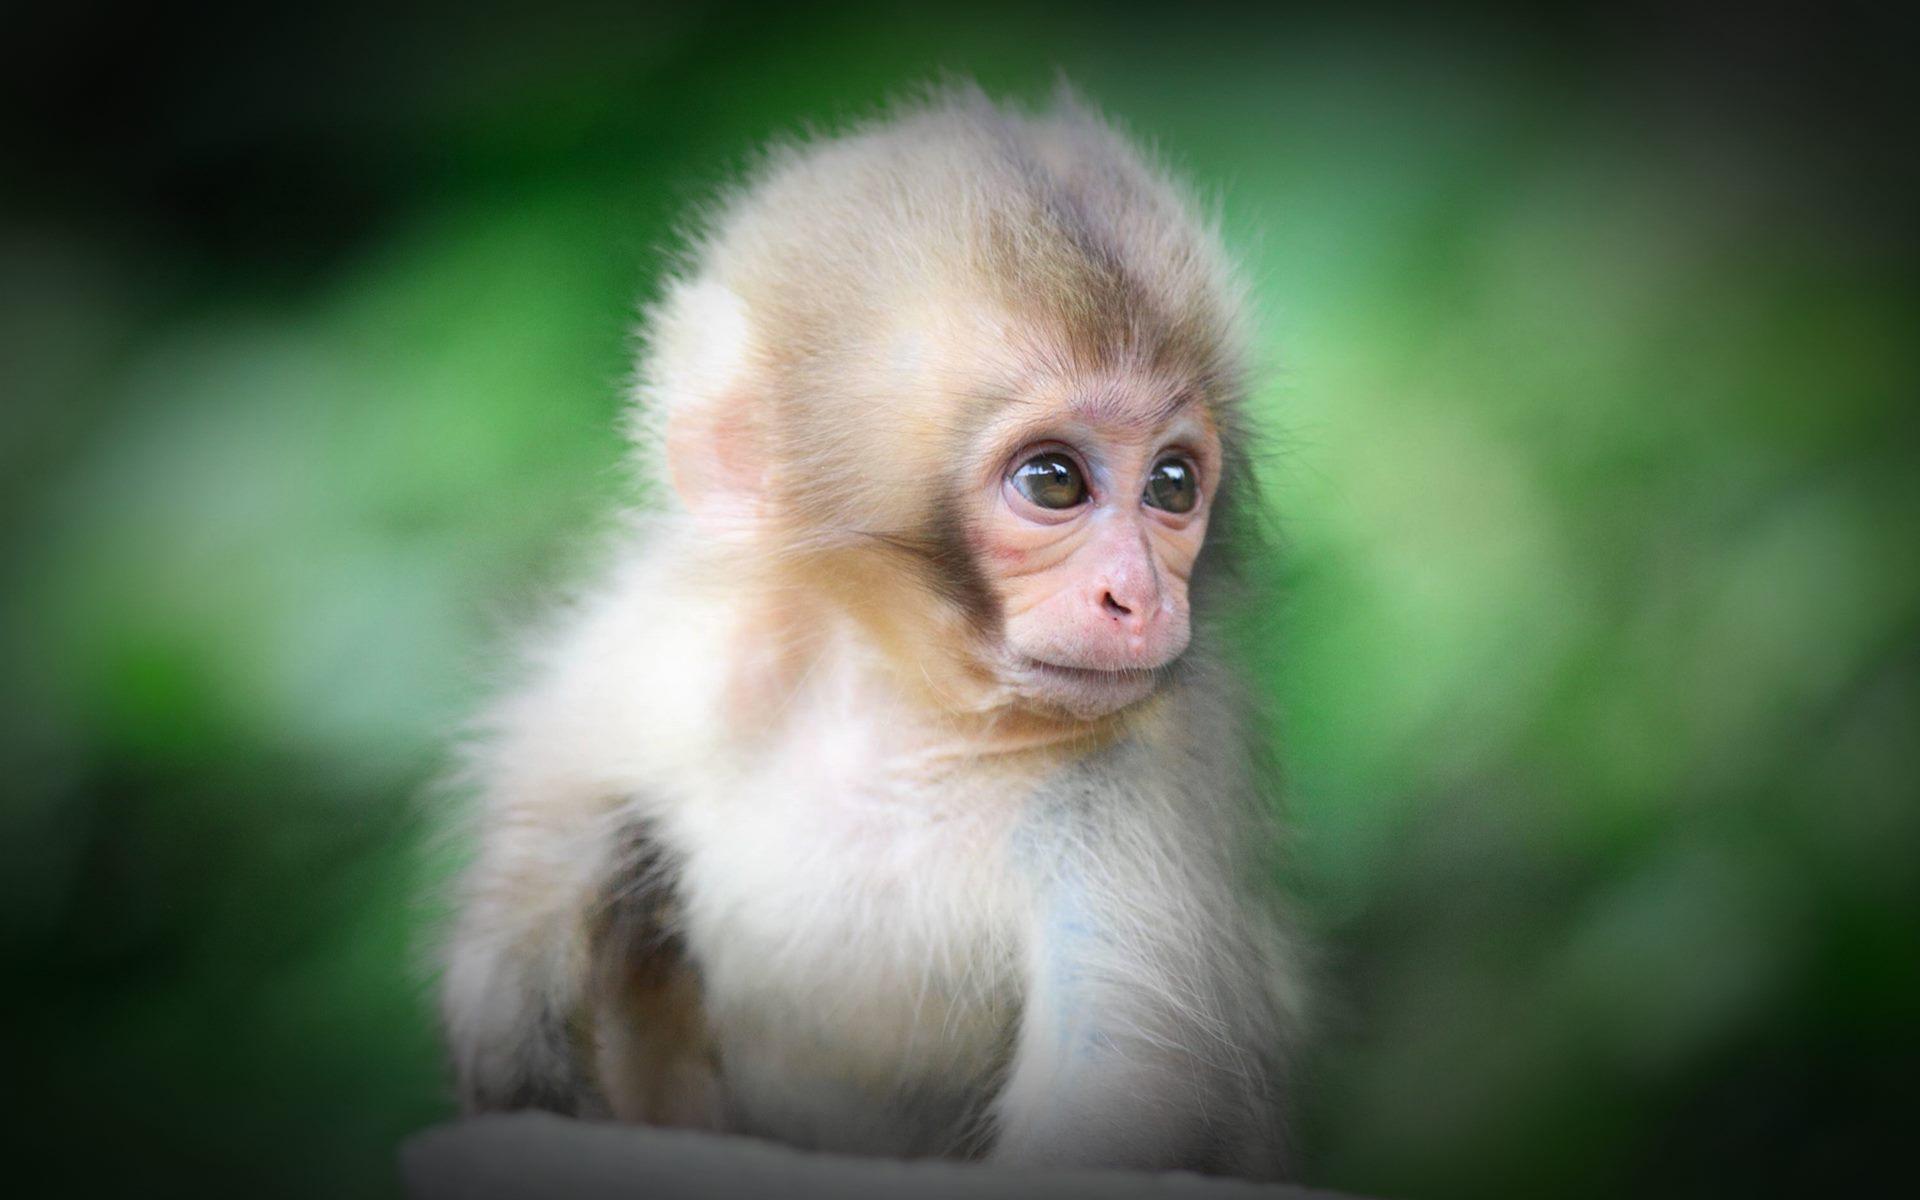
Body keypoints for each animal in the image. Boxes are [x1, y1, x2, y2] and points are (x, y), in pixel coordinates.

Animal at [436, 85, 1307, 1181]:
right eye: (1053, 481)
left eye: (1174, 485)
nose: (1140, 597)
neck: (900, 713)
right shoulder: (696, 641)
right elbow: (562, 769)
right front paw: (509, 1013)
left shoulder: (1147, 774)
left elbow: (1115, 1102)